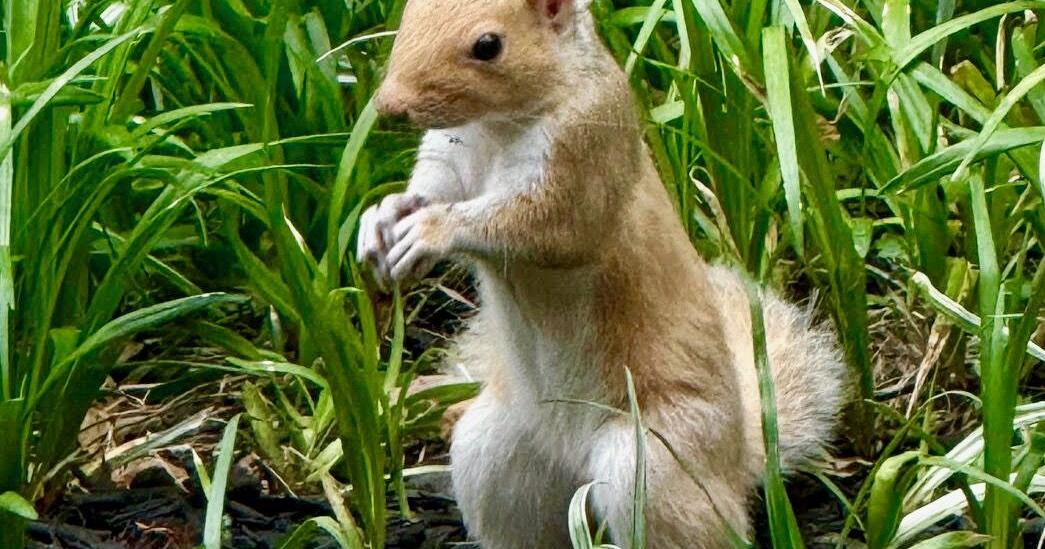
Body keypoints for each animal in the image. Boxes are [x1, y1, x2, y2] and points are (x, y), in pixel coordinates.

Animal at [356, 0, 847, 546]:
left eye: (488, 46)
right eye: (409, 14)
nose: (390, 105)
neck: (497, 128)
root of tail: (735, 458)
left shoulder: (581, 159)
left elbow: (541, 226)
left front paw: (434, 230)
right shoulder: (451, 157)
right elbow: (431, 189)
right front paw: (381, 219)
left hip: (651, 462)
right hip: (496, 453)